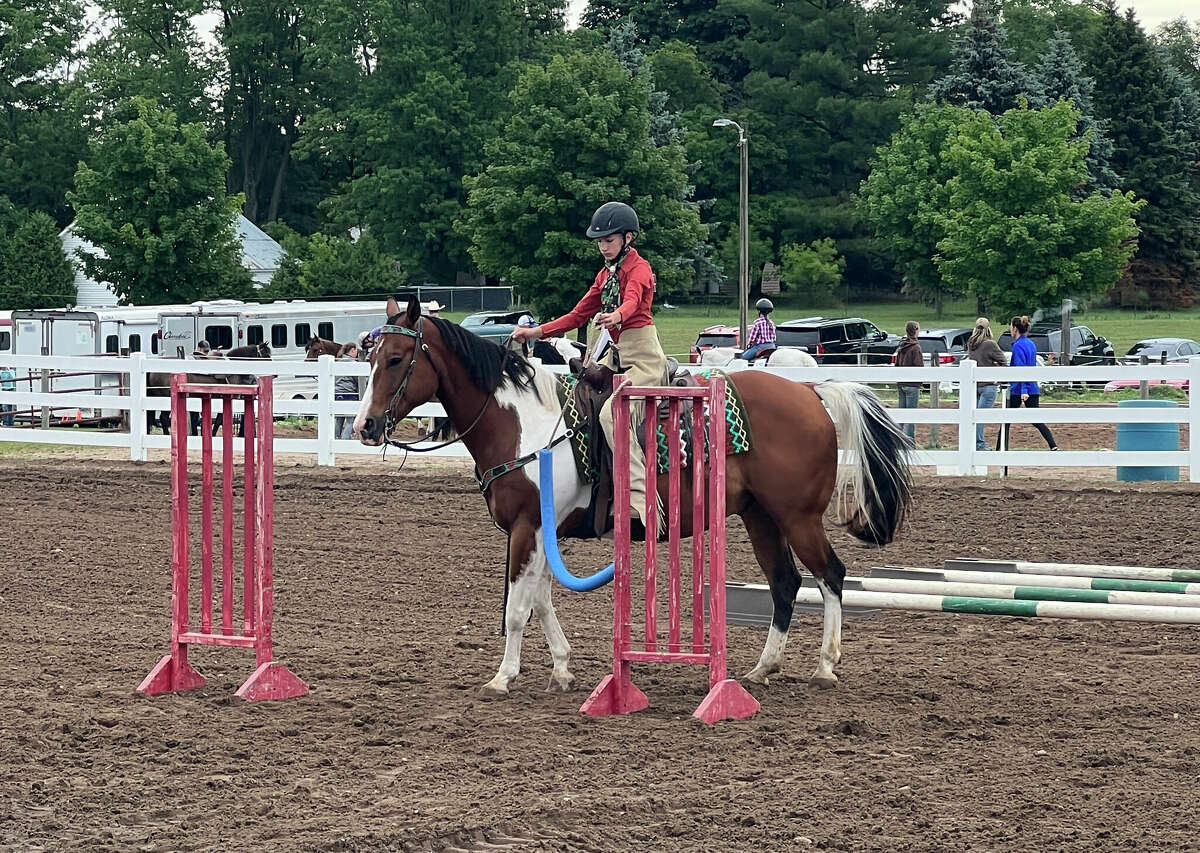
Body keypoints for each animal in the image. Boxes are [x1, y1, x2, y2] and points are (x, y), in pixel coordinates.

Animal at [356, 296, 913, 697]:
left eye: (397, 358)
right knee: (785, 582)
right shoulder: (540, 532)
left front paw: (502, 677)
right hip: (761, 517)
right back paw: (761, 668)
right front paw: (561, 670)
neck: (523, 423)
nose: (365, 426)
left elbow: (518, 607)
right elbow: (541, 599)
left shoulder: (526, 527)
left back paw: (824, 665)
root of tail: (812, 392)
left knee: (830, 575)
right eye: (371, 356)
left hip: (798, 517)